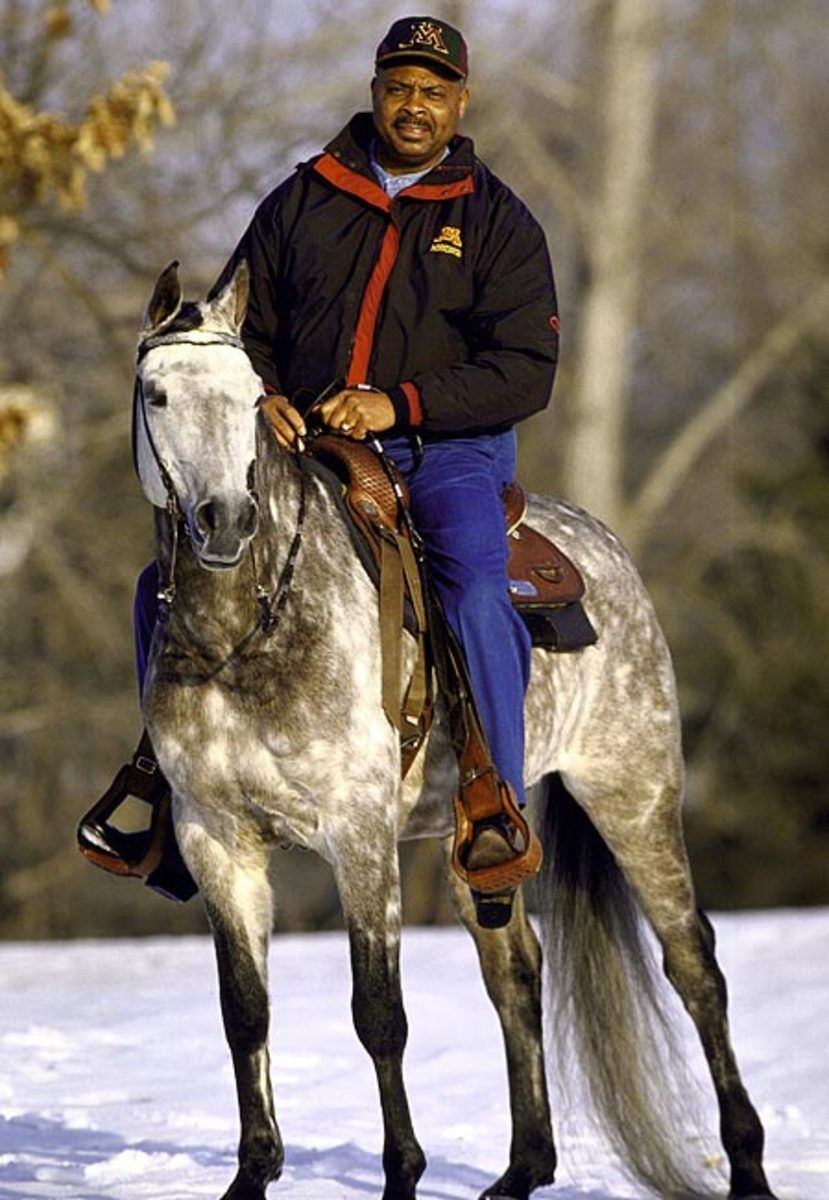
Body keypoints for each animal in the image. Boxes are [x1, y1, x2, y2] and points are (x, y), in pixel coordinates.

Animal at [131, 259, 776, 1200]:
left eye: (251, 396)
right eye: (158, 394)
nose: (224, 519)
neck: (246, 632)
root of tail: (605, 547)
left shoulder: (360, 835)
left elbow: (379, 1014)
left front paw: (402, 1174)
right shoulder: (215, 837)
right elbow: (244, 1013)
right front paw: (252, 1175)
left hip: (634, 795)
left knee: (694, 967)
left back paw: (747, 1167)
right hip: (476, 840)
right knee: (516, 972)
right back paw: (523, 1168)